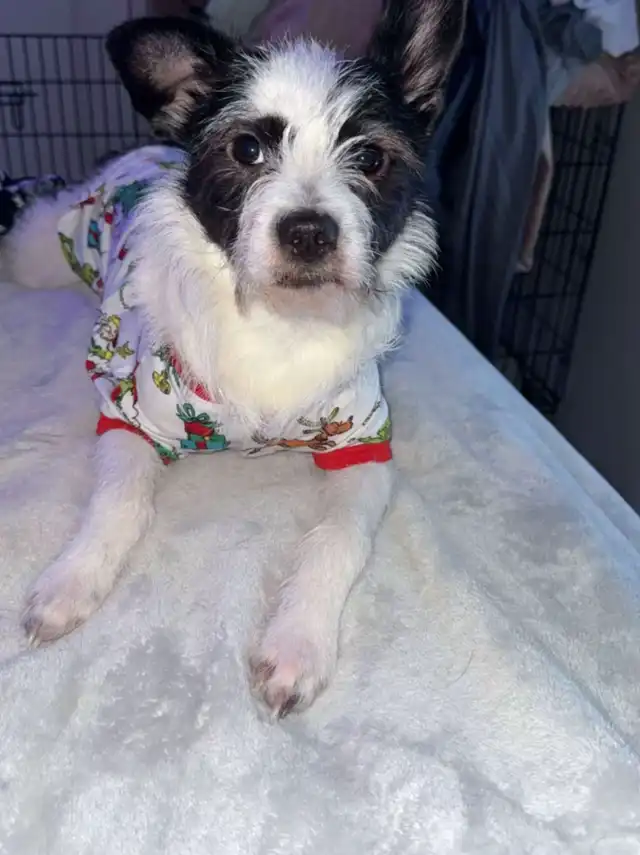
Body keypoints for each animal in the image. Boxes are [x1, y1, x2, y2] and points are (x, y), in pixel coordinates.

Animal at [2, 0, 466, 717]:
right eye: (247, 149)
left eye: (369, 156)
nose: (308, 233)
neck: (280, 323)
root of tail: (145, 148)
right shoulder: (131, 415)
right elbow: (119, 503)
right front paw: (71, 581)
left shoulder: (362, 443)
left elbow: (339, 538)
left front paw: (298, 644)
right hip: (48, 251)